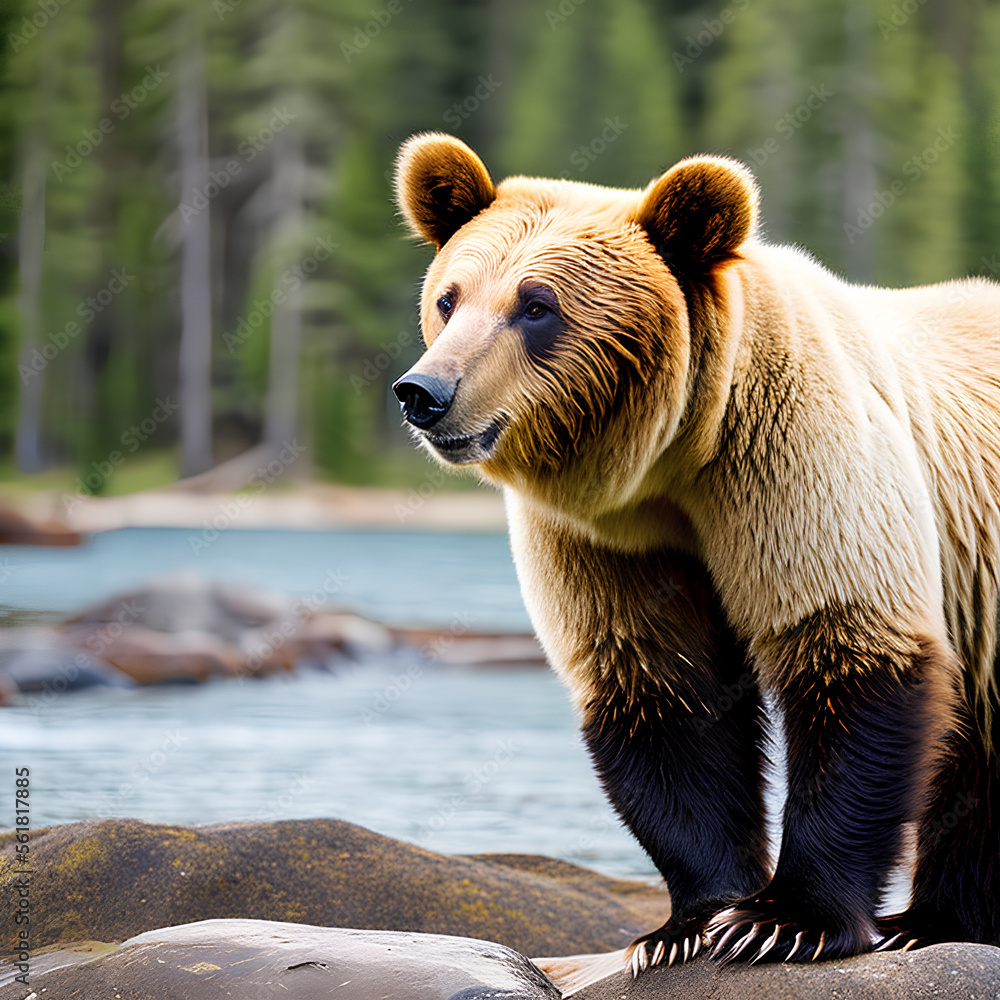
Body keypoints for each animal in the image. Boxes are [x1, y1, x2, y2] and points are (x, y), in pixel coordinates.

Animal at [390, 131, 1000, 971]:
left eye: (536, 306)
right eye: (450, 297)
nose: (425, 392)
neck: (676, 454)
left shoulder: (796, 454)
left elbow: (843, 645)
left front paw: (784, 919)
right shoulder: (607, 537)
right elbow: (661, 688)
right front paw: (685, 926)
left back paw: (929, 922)